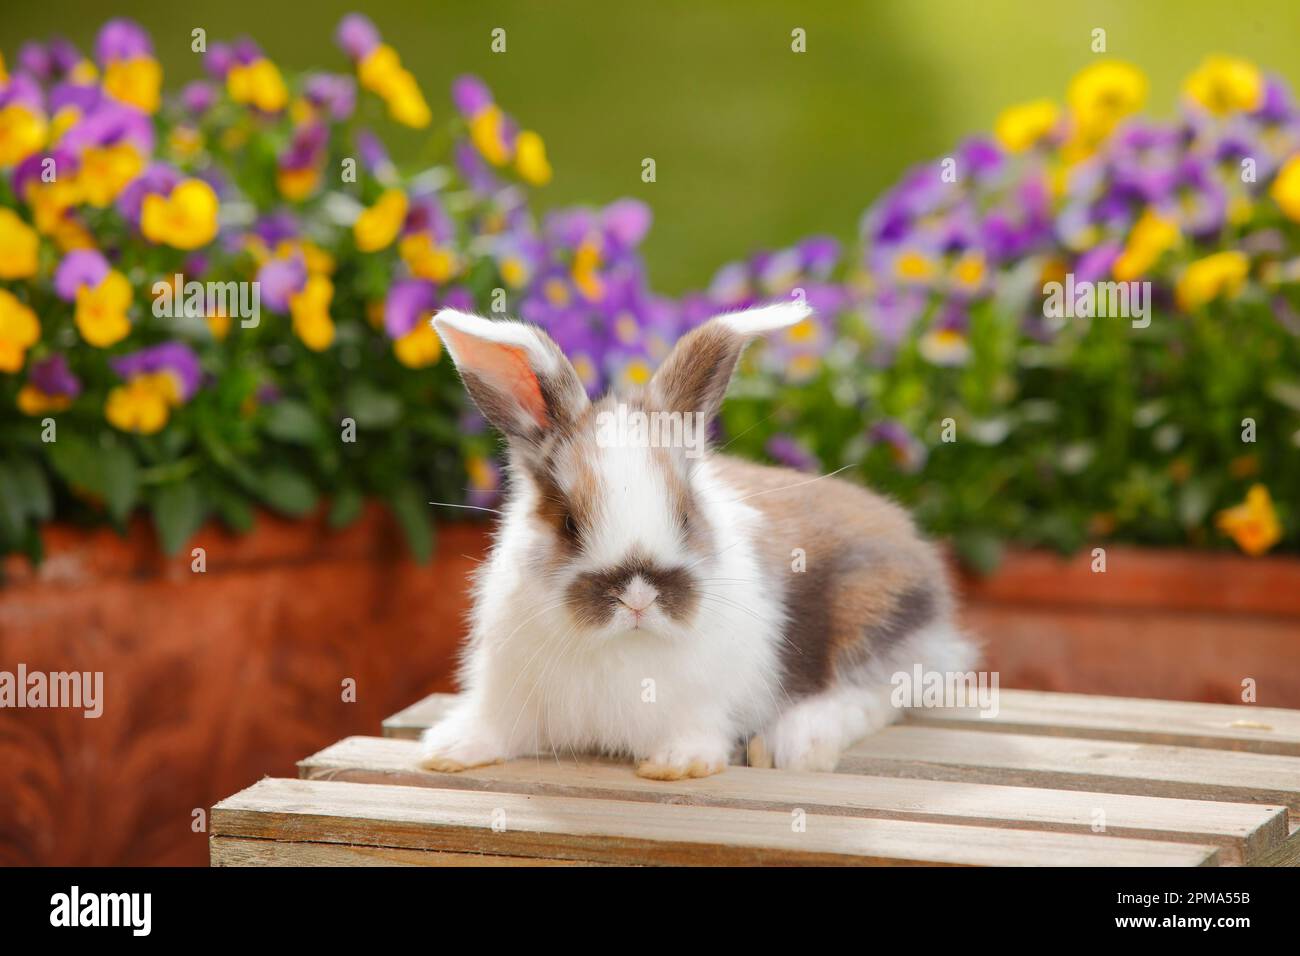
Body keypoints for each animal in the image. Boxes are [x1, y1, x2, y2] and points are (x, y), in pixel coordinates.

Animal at [417, 301, 979, 780]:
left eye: (687, 516)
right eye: (568, 524)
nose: (637, 597)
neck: (624, 646)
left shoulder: (707, 703)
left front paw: (677, 764)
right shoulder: (509, 696)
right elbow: (493, 728)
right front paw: (447, 752)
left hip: (872, 614)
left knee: (876, 692)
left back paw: (798, 743)